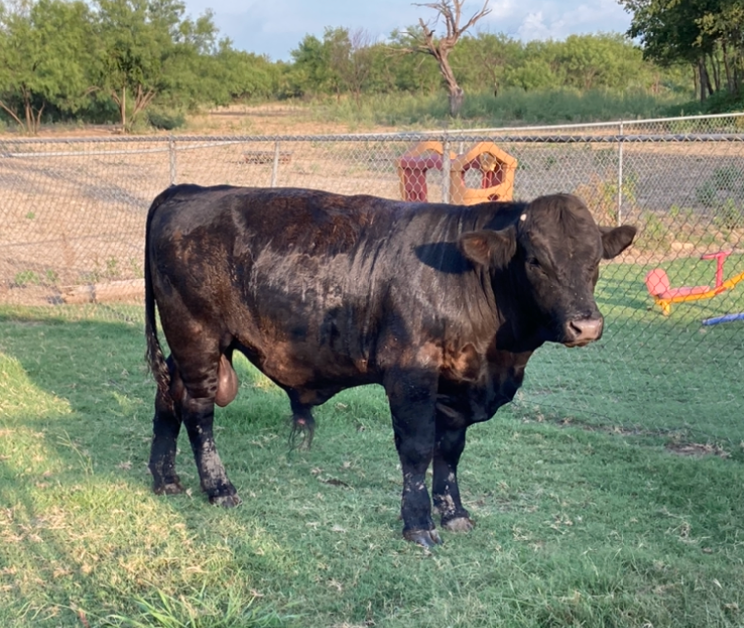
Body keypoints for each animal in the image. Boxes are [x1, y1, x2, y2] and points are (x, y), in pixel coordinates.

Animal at [144, 184, 636, 547]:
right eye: (535, 259)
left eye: (595, 259)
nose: (586, 325)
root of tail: (191, 191)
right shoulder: (410, 374)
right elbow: (417, 449)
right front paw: (419, 524)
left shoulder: (456, 388)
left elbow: (449, 451)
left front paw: (454, 513)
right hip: (197, 335)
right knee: (199, 412)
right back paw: (218, 487)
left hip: (194, 346)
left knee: (168, 396)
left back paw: (165, 478)